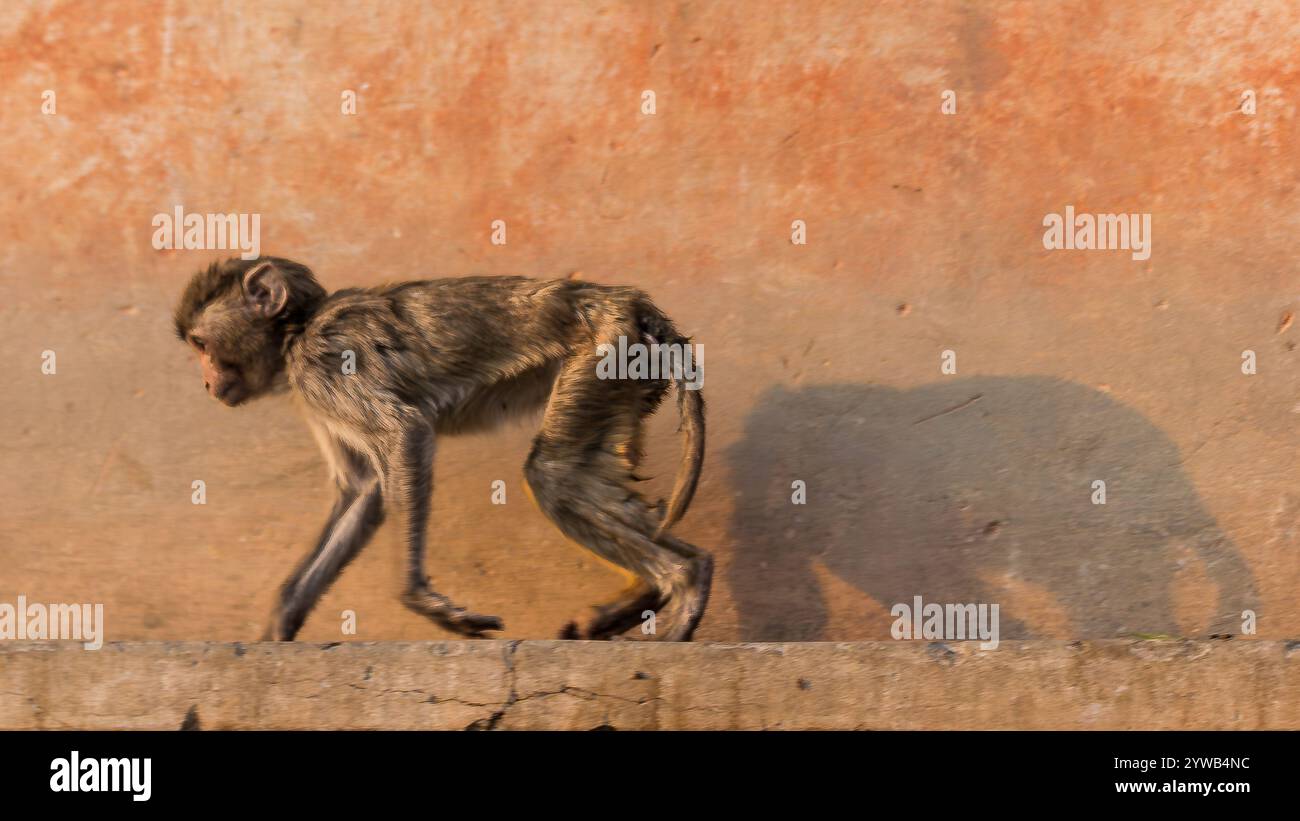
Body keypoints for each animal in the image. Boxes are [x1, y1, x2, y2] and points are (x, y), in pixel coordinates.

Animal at [173, 256, 711, 642]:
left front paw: (420, 599)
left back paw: (684, 580)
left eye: (201, 344)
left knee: (553, 474)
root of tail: (628, 301)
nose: (205, 383)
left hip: (604, 351)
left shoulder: (321, 371)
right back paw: (667, 581)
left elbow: (404, 434)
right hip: (623, 372)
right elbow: (364, 491)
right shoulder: (314, 398)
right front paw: (280, 624)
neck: (297, 331)